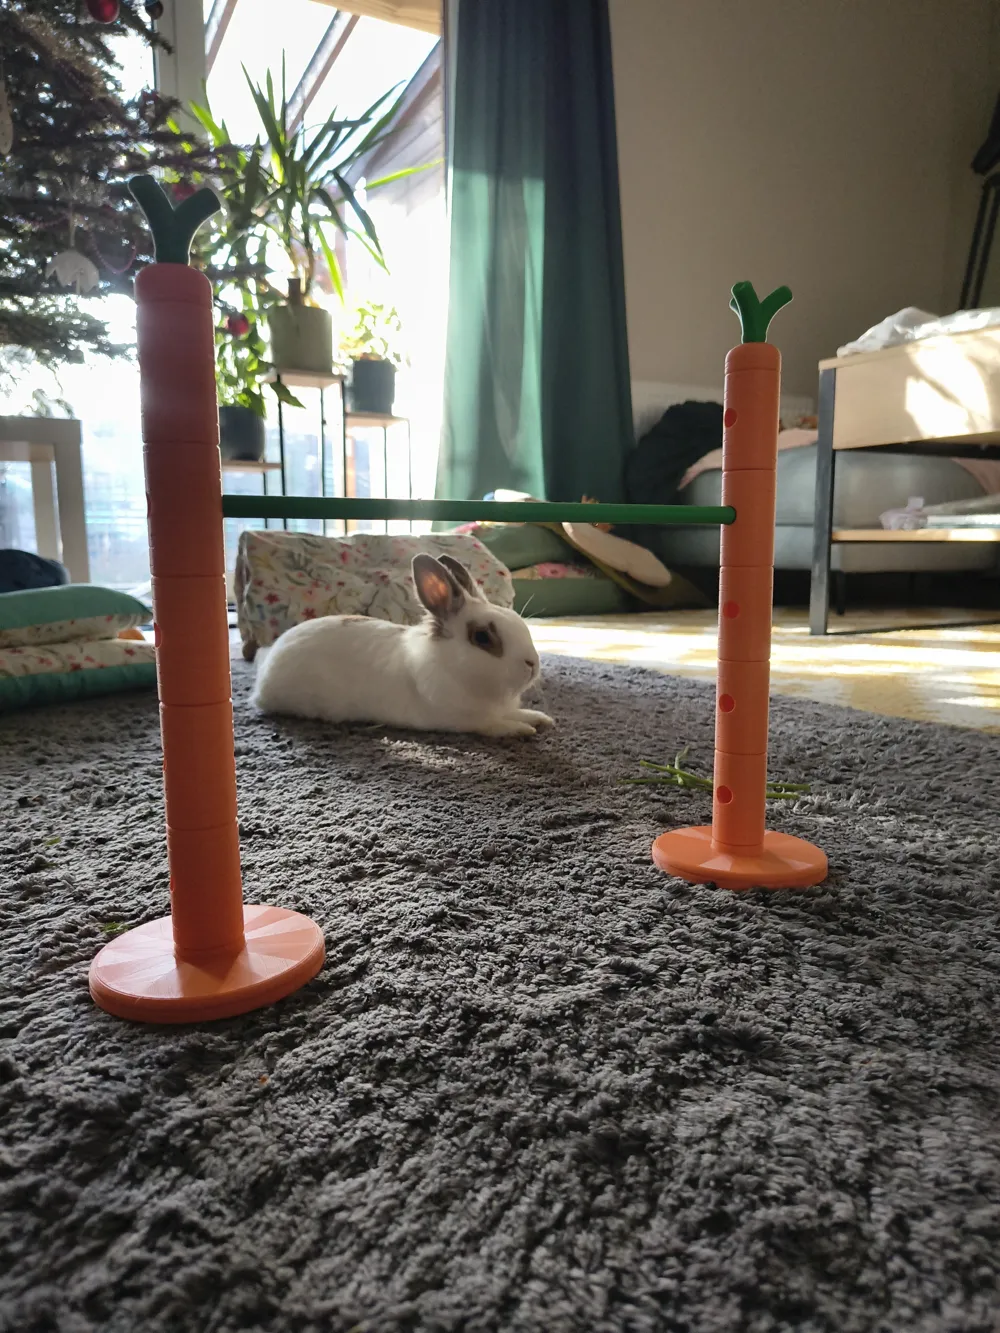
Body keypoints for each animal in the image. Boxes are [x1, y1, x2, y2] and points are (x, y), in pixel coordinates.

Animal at [251, 553, 555, 738]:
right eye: (482, 638)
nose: (533, 664)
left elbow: (518, 712)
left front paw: (540, 718)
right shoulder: (464, 720)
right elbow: (497, 725)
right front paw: (523, 730)